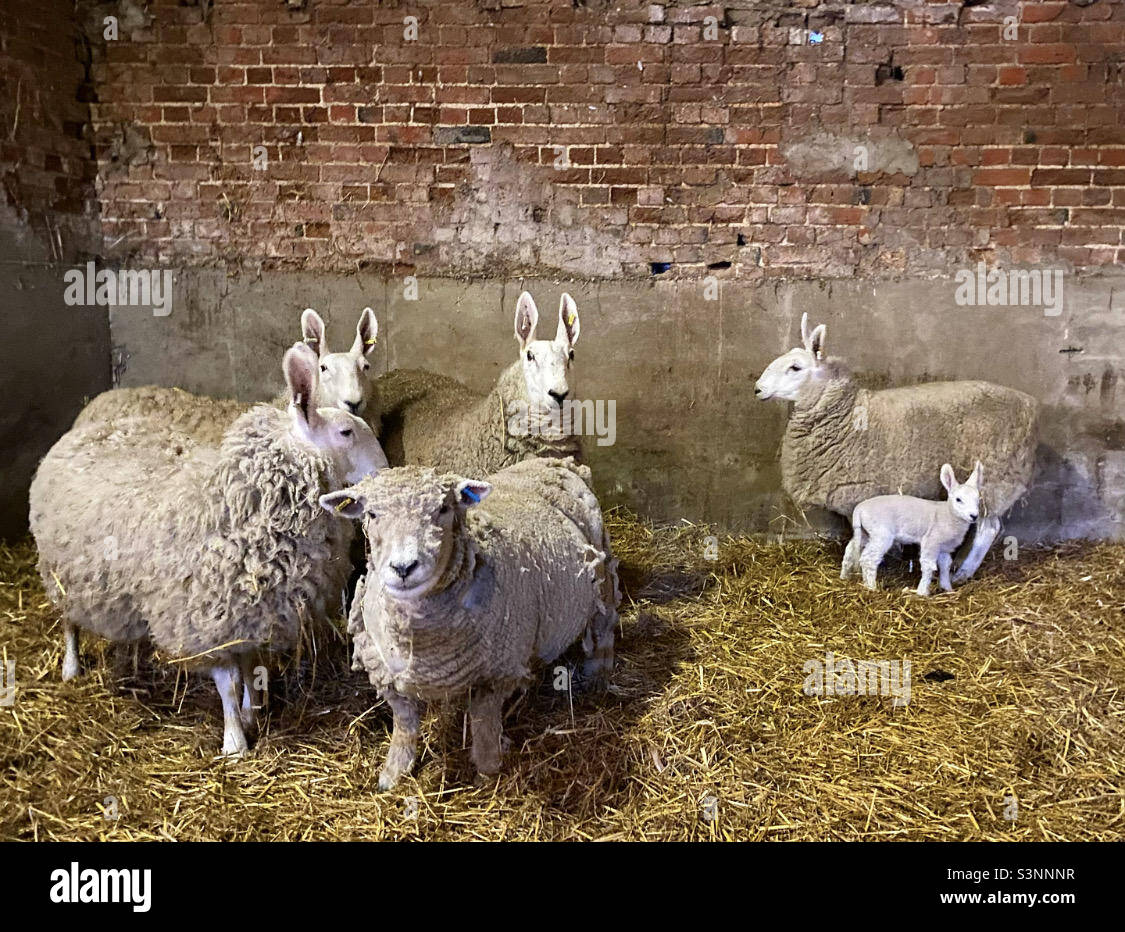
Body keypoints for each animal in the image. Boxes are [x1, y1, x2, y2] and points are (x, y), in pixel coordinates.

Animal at [29, 343, 389, 756]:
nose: (385, 470)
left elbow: (250, 666)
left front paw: (252, 712)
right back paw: (71, 667)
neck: (239, 505)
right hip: (60, 570)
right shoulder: (205, 620)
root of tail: (84, 430)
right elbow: (228, 683)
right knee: (68, 621)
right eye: (346, 431)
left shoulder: (251, 611)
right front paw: (235, 742)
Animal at [319, 456, 620, 790]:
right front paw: (394, 772)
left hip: (602, 575)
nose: (404, 567)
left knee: (604, 627)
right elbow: (404, 725)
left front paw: (488, 772)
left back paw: (597, 678)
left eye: (443, 508)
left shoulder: (495, 674)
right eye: (371, 513)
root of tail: (555, 462)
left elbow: (483, 723)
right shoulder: (387, 676)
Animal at [842, 462, 983, 596]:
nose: (974, 516)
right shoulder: (932, 541)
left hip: (865, 532)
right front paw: (923, 592)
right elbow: (928, 565)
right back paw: (871, 587)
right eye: (958, 499)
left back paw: (846, 577)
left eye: (978, 499)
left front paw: (947, 588)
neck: (949, 514)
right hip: (881, 534)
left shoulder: (944, 546)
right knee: (869, 559)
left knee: (850, 551)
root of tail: (859, 509)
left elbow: (945, 565)